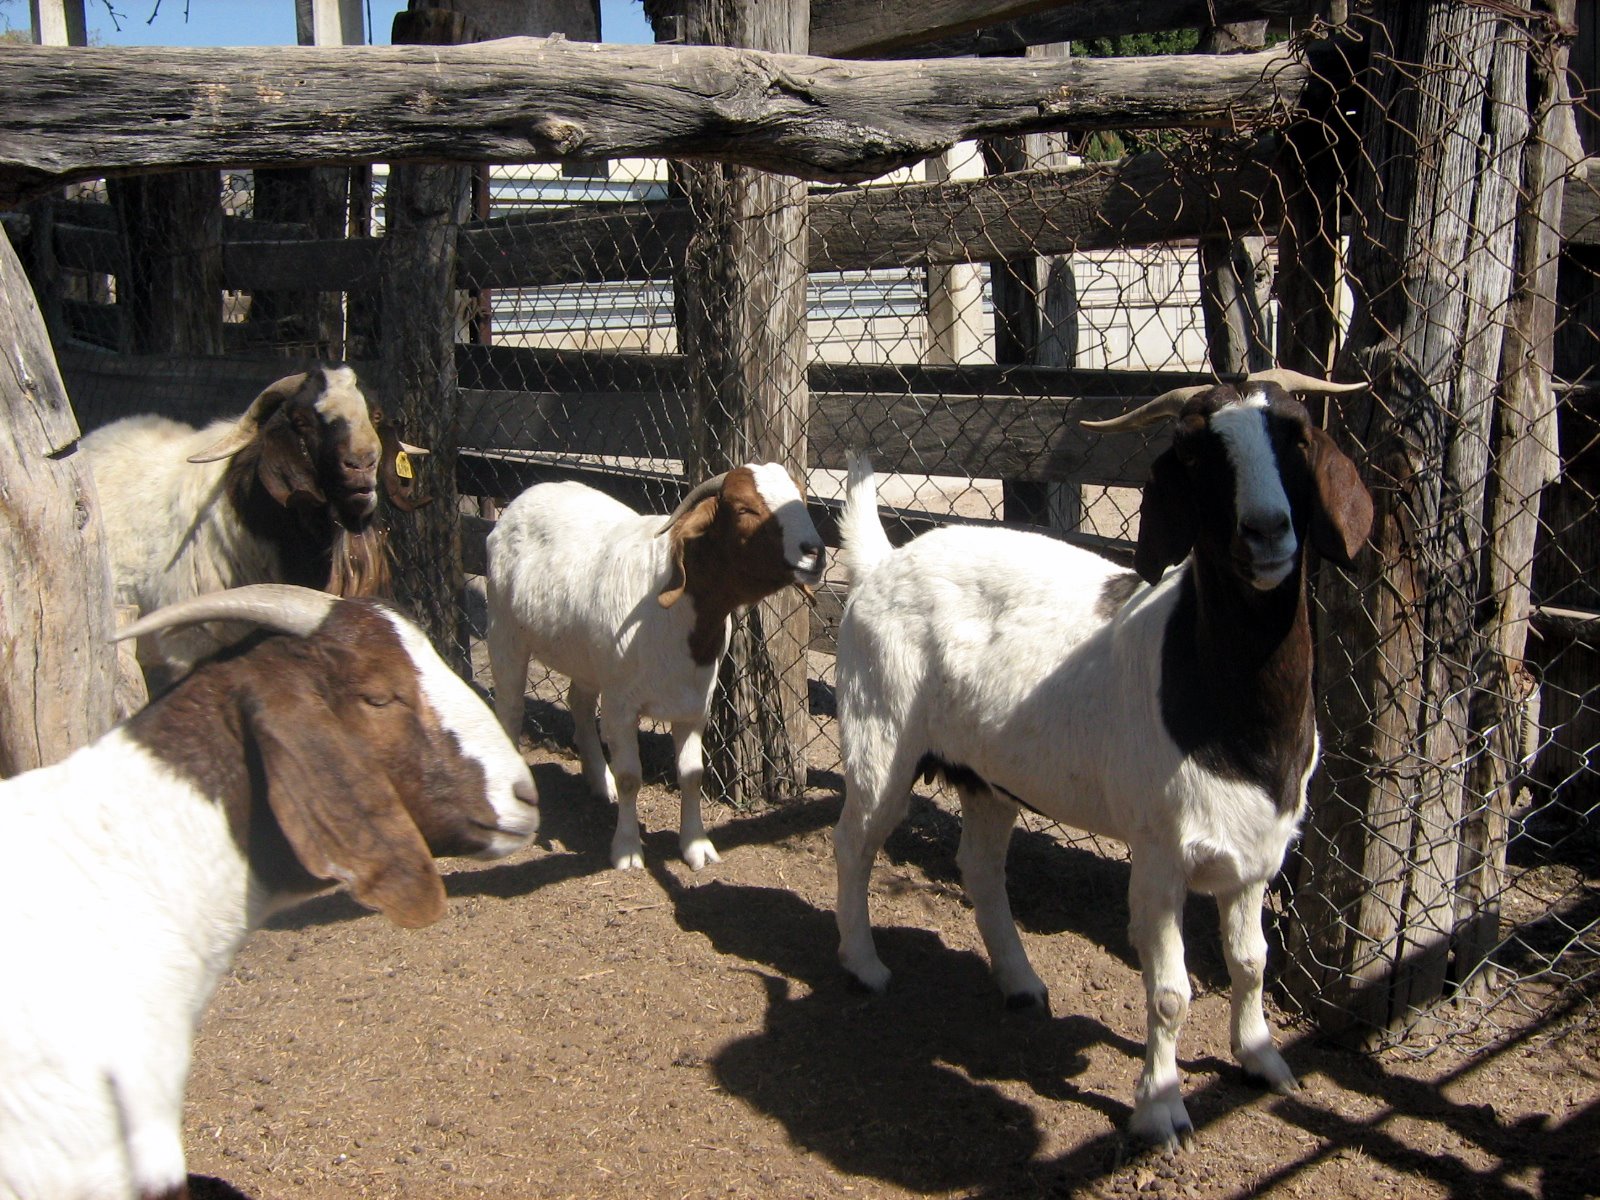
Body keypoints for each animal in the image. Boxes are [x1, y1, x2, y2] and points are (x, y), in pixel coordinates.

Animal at [486, 466, 824, 870]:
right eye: (744, 508)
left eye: (801, 498)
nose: (815, 553)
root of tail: (522, 499)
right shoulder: (621, 705)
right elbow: (631, 776)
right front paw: (627, 849)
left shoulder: (695, 705)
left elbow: (691, 776)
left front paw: (696, 846)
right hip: (505, 631)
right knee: (509, 707)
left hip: (588, 659)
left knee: (579, 703)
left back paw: (600, 782)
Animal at [831, 370, 1373, 1150]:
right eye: (1195, 452)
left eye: (1296, 434)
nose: (1267, 530)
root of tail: (883, 561)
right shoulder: (1159, 852)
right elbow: (1171, 991)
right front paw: (1161, 1109)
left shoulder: (1256, 854)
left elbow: (1249, 964)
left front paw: (1262, 1059)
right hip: (880, 733)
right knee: (855, 841)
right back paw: (865, 963)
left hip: (991, 774)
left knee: (979, 865)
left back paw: (1020, 982)